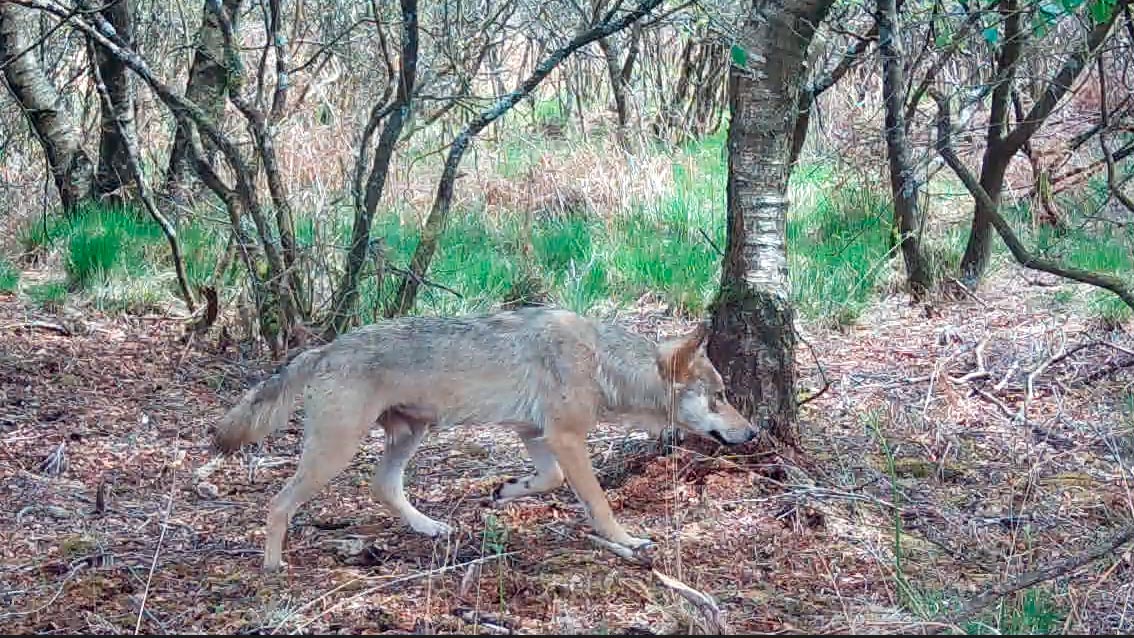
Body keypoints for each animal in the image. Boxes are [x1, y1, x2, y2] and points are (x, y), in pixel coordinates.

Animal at [212, 306, 756, 571]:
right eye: (721, 396)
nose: (753, 431)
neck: (604, 361)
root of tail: (323, 349)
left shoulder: (535, 434)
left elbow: (547, 480)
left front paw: (506, 490)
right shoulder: (566, 437)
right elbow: (599, 504)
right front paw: (626, 541)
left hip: (409, 434)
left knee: (382, 486)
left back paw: (430, 528)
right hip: (336, 451)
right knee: (279, 504)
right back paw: (273, 567)